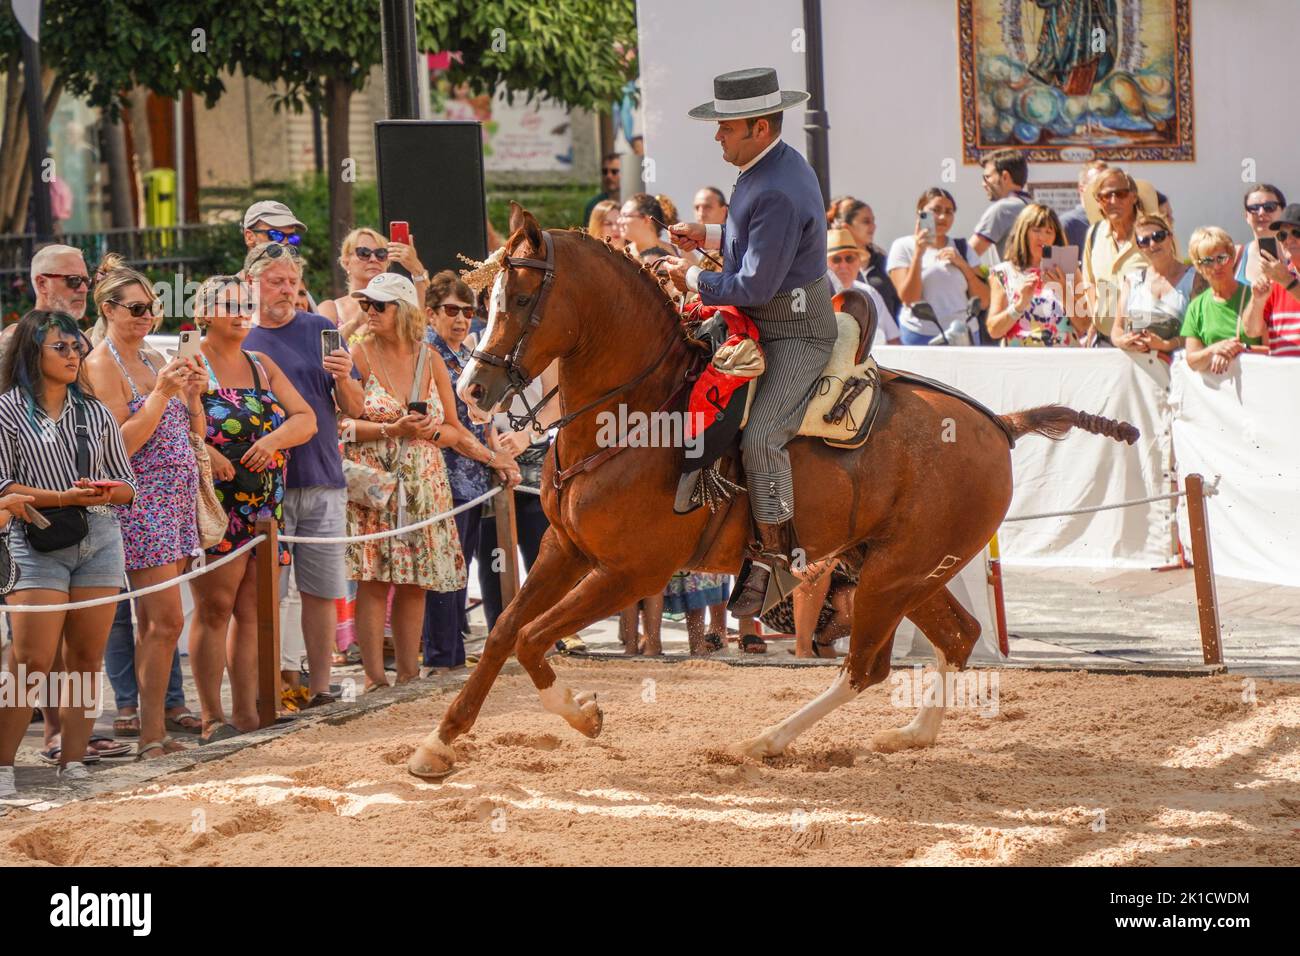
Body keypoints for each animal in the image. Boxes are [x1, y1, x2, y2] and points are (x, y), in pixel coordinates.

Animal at [407, 204, 1138, 778]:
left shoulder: (629, 572)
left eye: (520, 300)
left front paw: (583, 714)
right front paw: (439, 742)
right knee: (958, 639)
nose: (472, 389)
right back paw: (909, 734)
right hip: (907, 572)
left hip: (895, 576)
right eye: (484, 303)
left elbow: (532, 638)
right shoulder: (565, 549)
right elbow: (506, 630)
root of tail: (998, 424)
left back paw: (768, 741)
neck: (639, 411)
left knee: (866, 667)